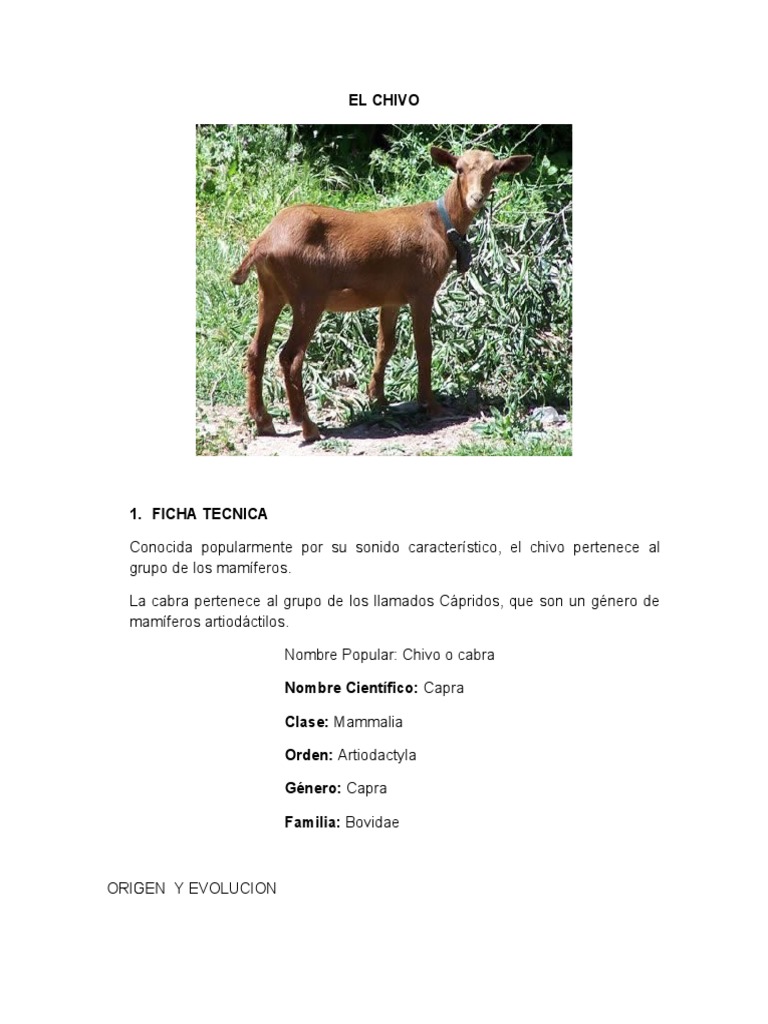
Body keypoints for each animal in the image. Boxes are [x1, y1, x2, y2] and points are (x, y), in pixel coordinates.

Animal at [231, 146, 532, 441]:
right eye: (459, 169)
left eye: (494, 171)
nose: (476, 199)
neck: (439, 225)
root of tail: (263, 243)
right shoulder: (422, 290)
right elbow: (424, 346)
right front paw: (431, 404)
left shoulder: (391, 299)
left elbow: (385, 345)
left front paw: (378, 398)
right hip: (308, 296)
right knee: (290, 357)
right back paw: (307, 426)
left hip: (270, 291)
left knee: (255, 350)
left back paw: (264, 421)